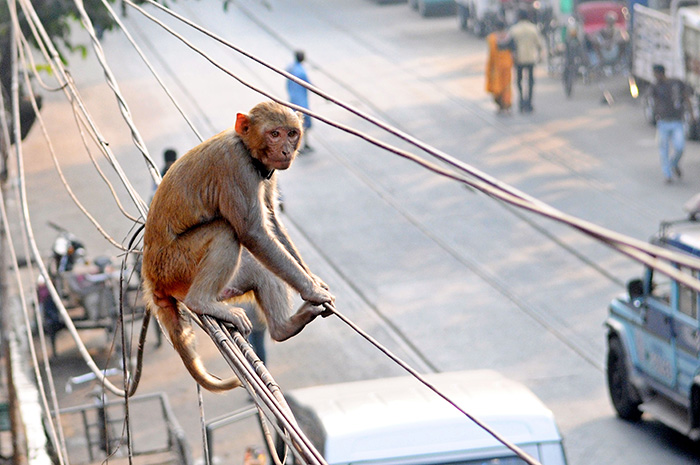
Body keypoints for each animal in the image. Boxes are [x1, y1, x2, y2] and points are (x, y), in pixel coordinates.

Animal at [141, 101, 334, 392]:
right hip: (176, 265)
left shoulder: (266, 173)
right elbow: (253, 233)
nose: (286, 150)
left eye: (291, 133)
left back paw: (284, 328)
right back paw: (202, 302)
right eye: (274, 134)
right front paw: (312, 290)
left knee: (262, 268)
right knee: (225, 232)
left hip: (213, 283)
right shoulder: (236, 167)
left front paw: (311, 278)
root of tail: (152, 278)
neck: (247, 149)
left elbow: (271, 220)